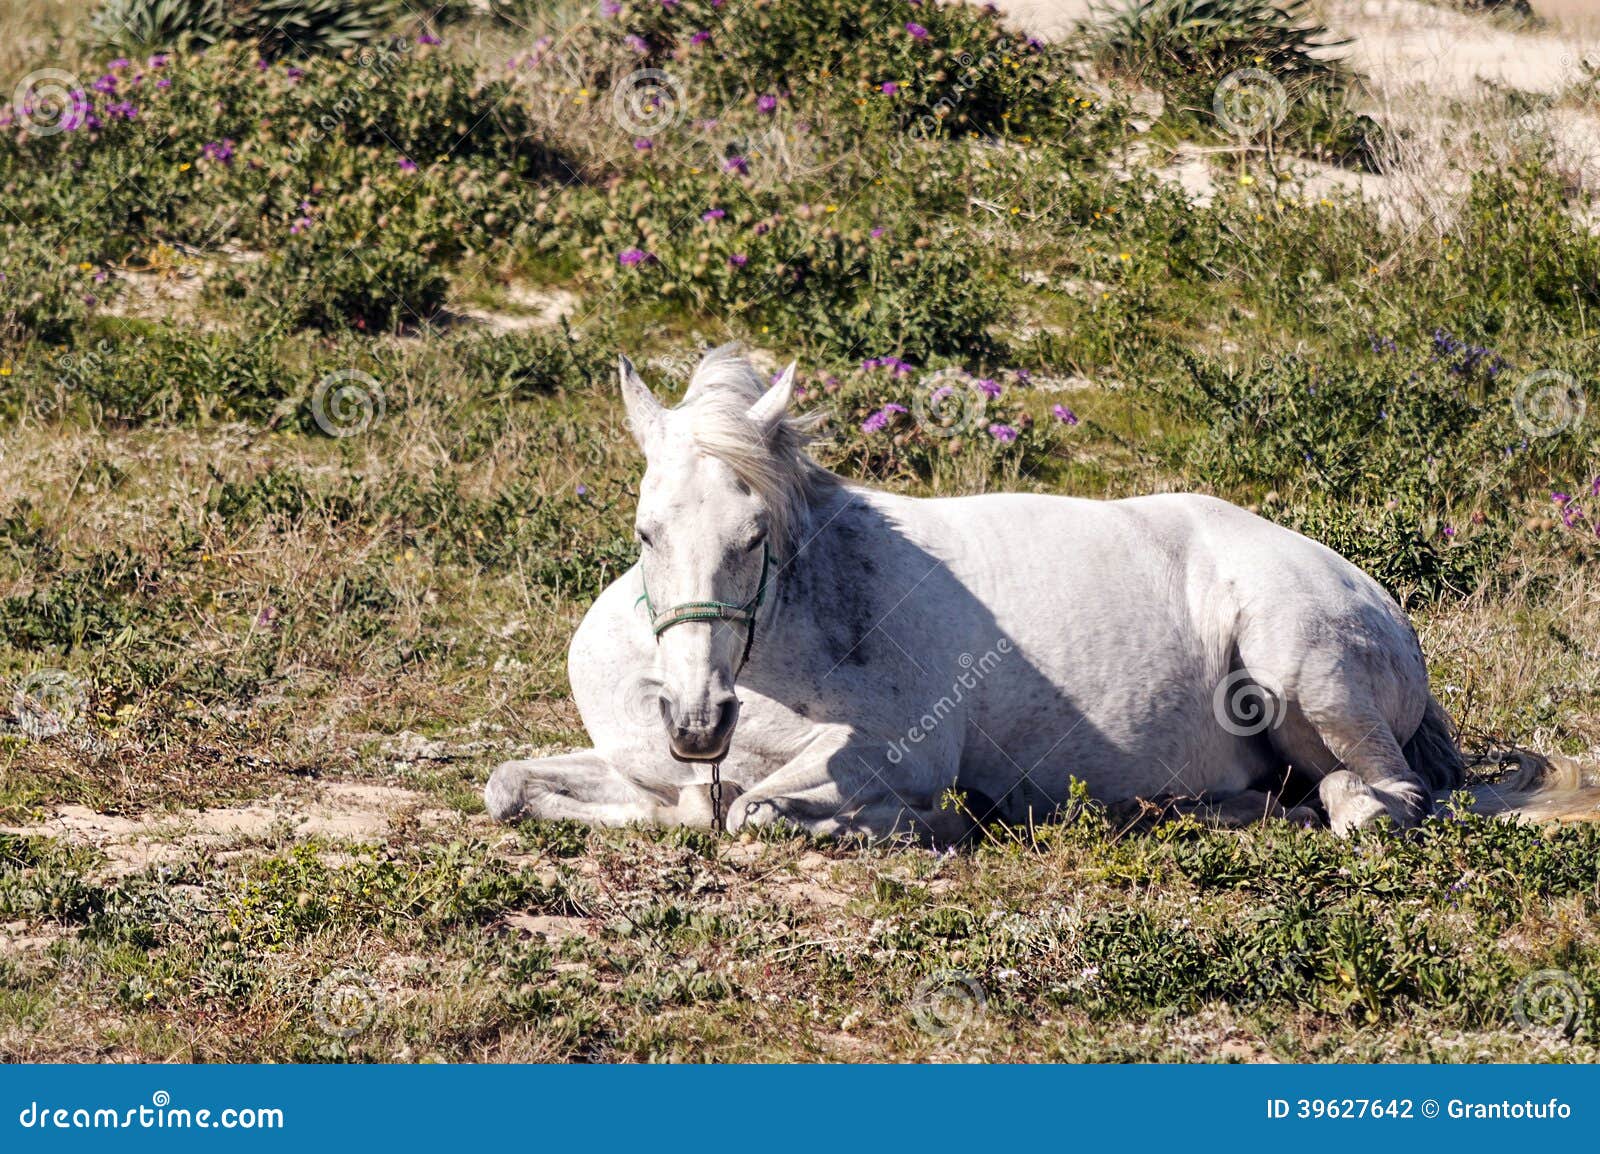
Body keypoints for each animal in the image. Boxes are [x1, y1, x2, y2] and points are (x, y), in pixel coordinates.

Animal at [485, 344, 1470, 840]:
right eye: (645, 533)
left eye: (755, 536)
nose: (697, 723)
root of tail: (1370, 589)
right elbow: (516, 787)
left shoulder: (902, 748)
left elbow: (755, 809)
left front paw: (908, 823)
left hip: (1303, 674)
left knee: (1382, 793)